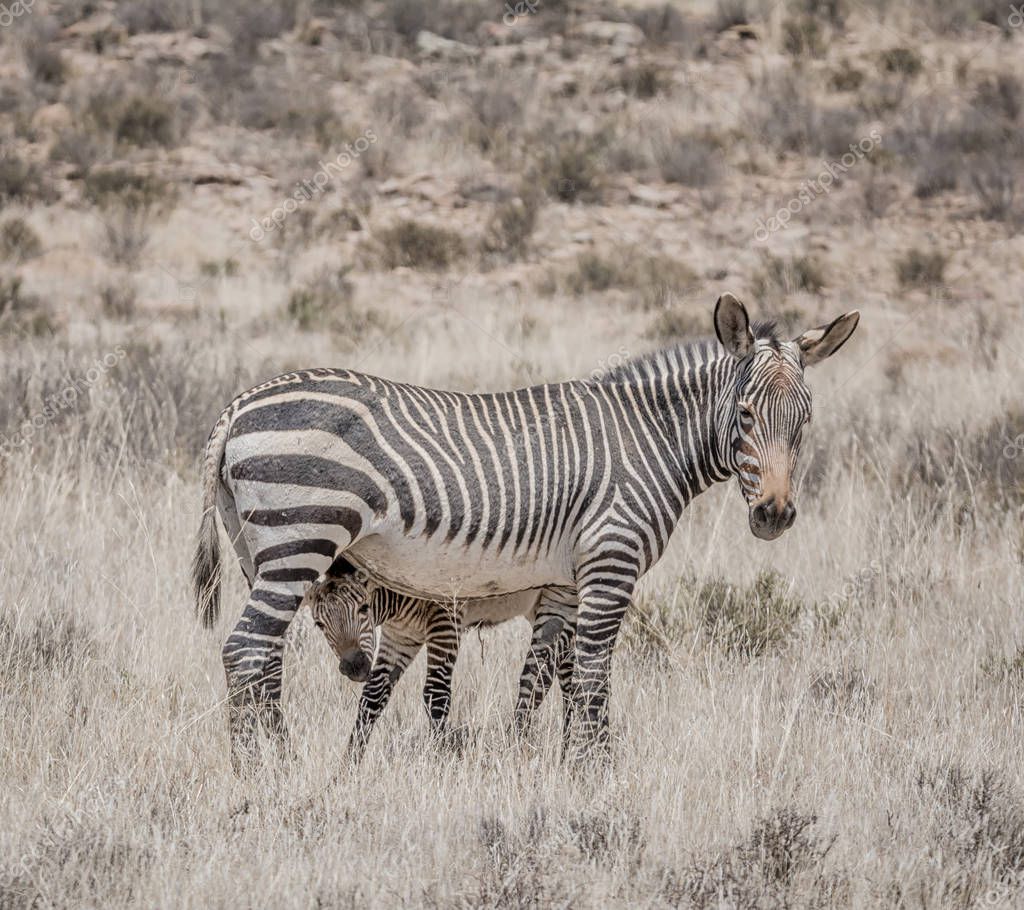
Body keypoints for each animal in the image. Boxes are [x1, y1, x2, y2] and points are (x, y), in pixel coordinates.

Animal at [302, 562, 577, 760]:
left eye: (364, 608)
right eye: (319, 624)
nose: (355, 667)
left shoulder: (446, 618)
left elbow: (436, 693)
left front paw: (441, 760)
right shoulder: (401, 635)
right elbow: (373, 697)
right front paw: (347, 768)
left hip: (560, 596)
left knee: (545, 675)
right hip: (539, 604)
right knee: (566, 672)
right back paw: (568, 747)